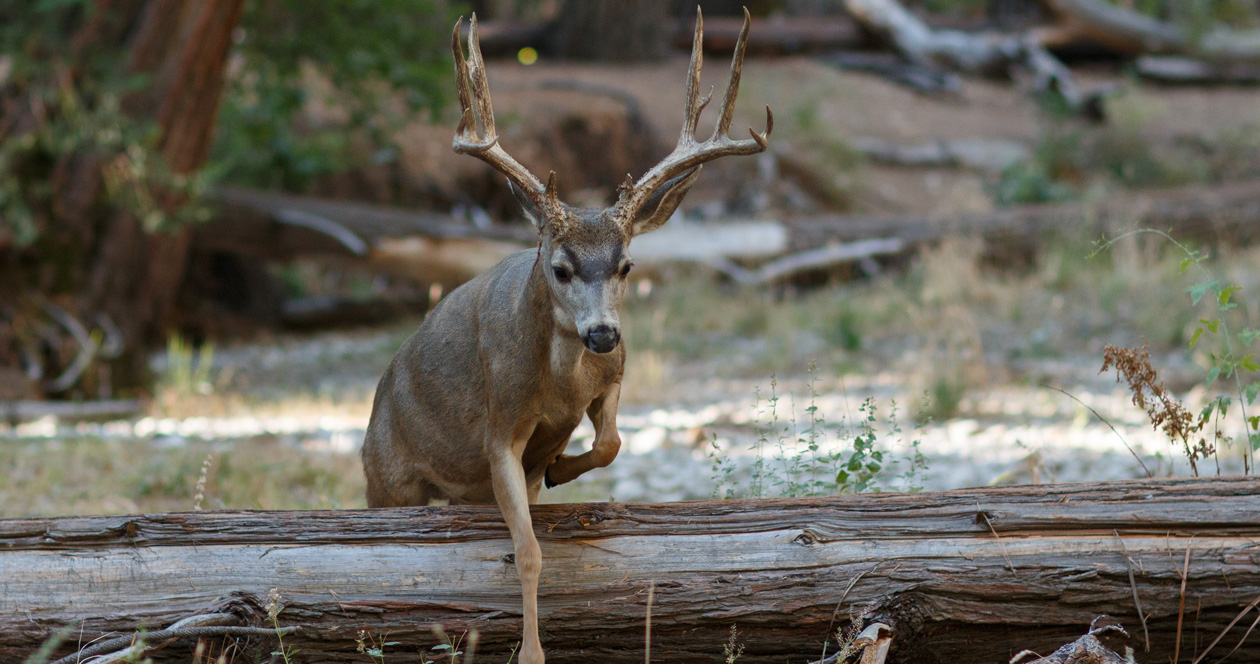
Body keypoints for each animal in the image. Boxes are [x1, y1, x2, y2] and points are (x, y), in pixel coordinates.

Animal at [361, 7, 770, 663]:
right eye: (559, 268)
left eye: (626, 265)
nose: (601, 332)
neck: (558, 382)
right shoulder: (499, 426)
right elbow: (527, 552)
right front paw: (532, 652)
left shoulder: (615, 376)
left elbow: (612, 443)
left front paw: (560, 466)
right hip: (386, 475)